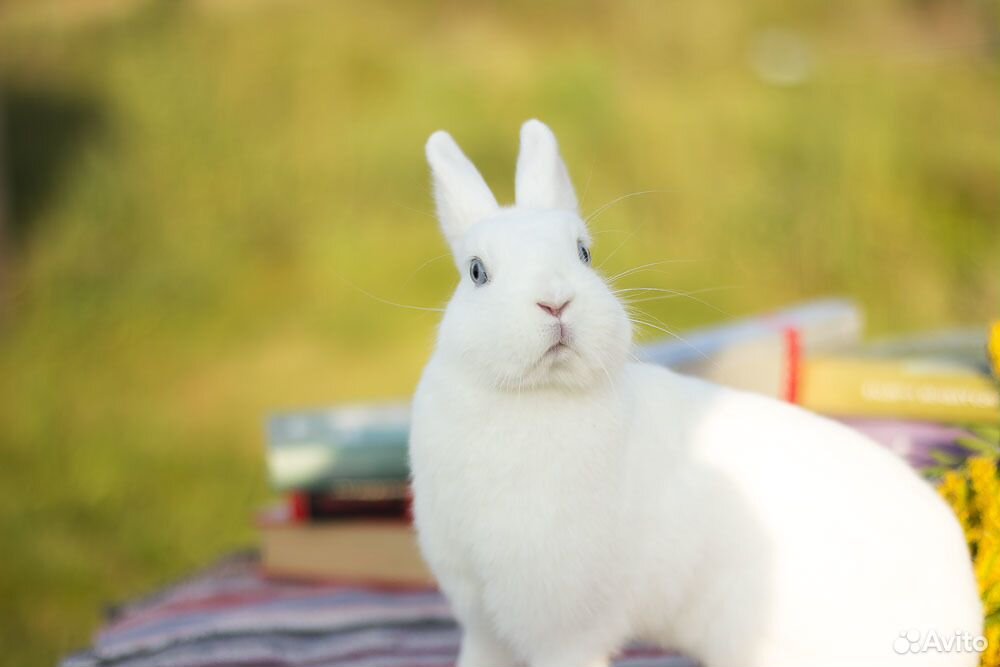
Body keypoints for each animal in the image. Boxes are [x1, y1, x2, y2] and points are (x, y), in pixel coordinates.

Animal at [408, 119, 984, 667]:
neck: (531, 395)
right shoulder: (480, 613)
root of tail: (967, 620)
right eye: (476, 272)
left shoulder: (567, 625)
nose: (556, 301)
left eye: (584, 253)